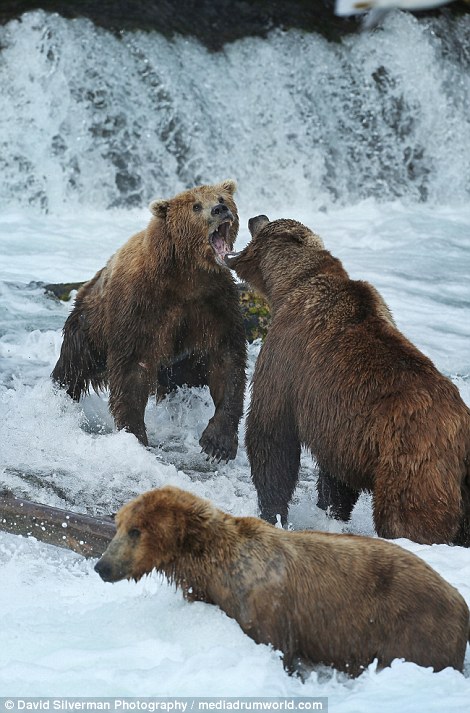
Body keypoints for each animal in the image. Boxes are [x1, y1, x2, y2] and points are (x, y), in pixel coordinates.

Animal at [52, 181, 247, 461]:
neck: (187, 274)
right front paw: (135, 436)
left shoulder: (215, 304)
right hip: (89, 328)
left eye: (222, 198)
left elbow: (227, 360)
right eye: (196, 206)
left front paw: (218, 443)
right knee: (72, 369)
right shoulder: (142, 305)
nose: (220, 210)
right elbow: (133, 368)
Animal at [94, 485, 470, 676]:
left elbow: (275, 643)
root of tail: (460, 602)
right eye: (119, 524)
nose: (102, 566)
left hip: (411, 628)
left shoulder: (268, 607)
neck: (216, 566)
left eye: (135, 530)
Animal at [224, 215, 470, 545]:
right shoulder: (339, 428)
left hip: (412, 465)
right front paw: (330, 510)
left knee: (405, 518)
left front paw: (272, 512)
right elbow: (335, 477)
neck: (289, 286)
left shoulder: (285, 355)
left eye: (270, 224)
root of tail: (460, 427)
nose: (255, 217)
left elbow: (273, 434)